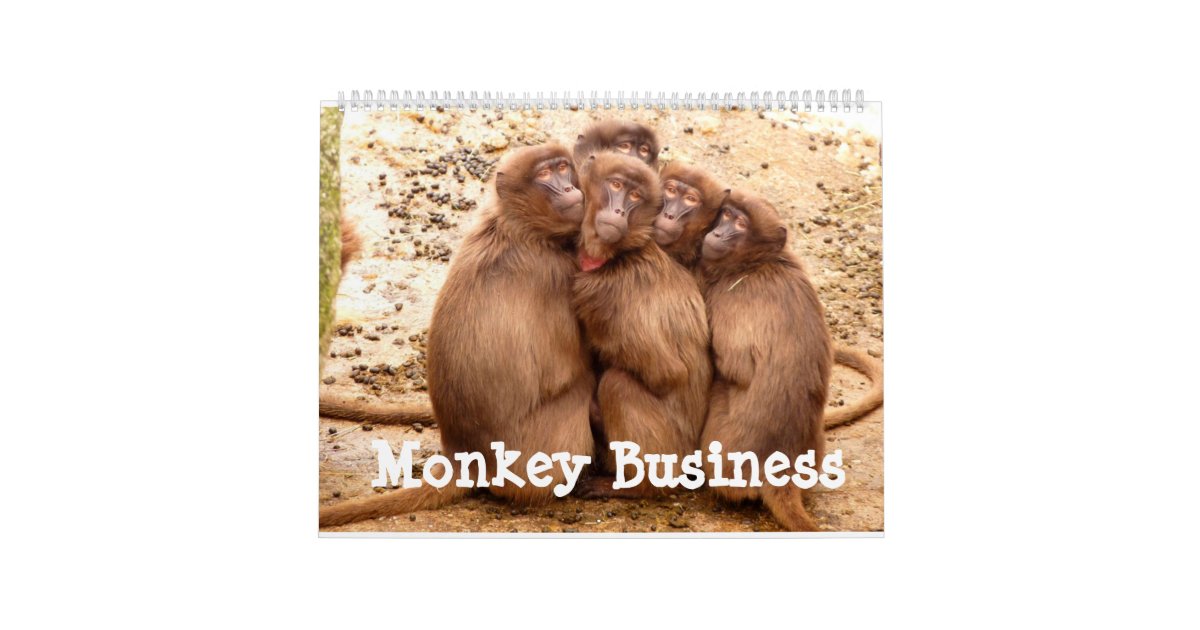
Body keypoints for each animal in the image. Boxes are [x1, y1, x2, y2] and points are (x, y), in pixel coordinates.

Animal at [319, 143, 596, 527]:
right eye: (545, 174)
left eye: (563, 168)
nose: (570, 188)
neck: (516, 228)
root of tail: (466, 456)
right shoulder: (558, 273)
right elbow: (572, 369)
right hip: (540, 455)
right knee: (582, 391)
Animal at [571, 152, 712, 498]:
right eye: (616, 185)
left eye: (634, 196)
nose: (619, 210)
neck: (617, 254)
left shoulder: (606, 294)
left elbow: (666, 374)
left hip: (669, 453)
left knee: (617, 385)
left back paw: (634, 486)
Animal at [696, 189, 838, 531]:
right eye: (727, 214)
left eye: (741, 223)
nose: (717, 233)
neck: (760, 262)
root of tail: (781, 470)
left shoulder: (732, 297)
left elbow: (735, 367)